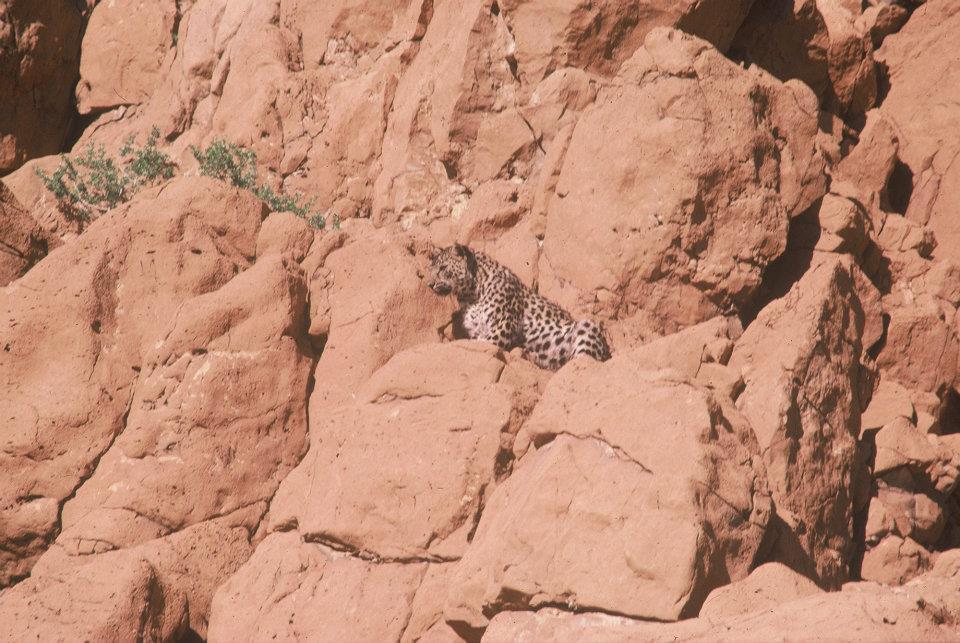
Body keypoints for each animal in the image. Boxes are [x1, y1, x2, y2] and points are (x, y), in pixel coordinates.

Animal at [426, 243, 611, 370]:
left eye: (443, 268)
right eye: (431, 269)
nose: (429, 284)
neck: (470, 295)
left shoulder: (504, 324)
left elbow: (488, 342)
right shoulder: (478, 329)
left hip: (587, 326)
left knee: (582, 360)